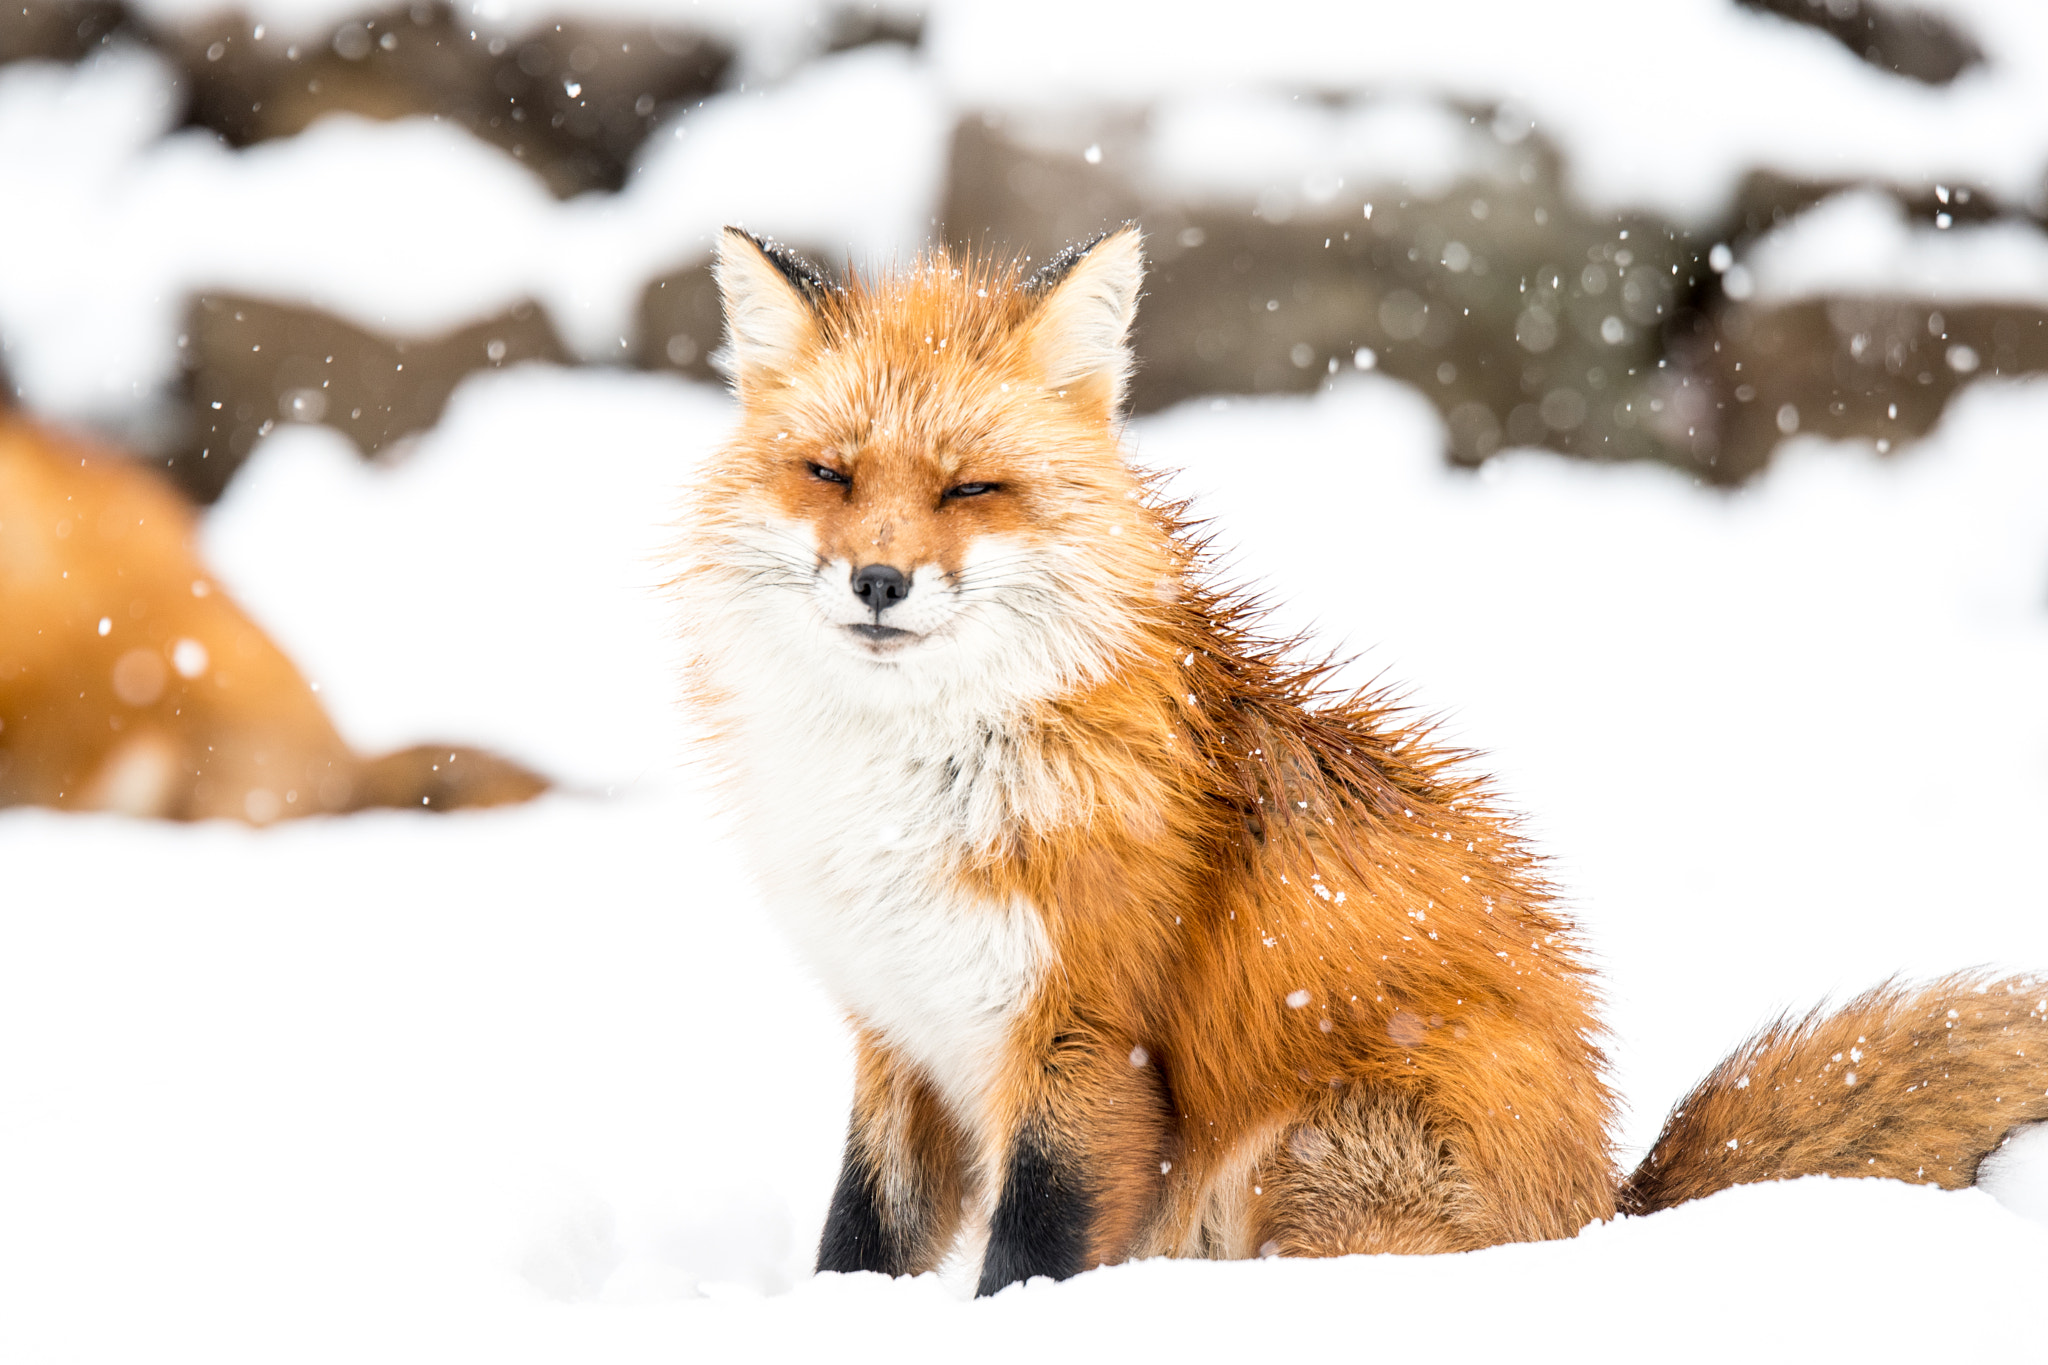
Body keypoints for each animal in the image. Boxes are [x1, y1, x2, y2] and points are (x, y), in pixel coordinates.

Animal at [677, 224, 2048, 1295]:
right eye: (828, 473)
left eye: (970, 490)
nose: (879, 582)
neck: (921, 780)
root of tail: (1604, 1213)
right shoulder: (899, 1038)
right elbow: (858, 1243)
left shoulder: (1087, 1042)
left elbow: (1024, 1260)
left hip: (1301, 1167)